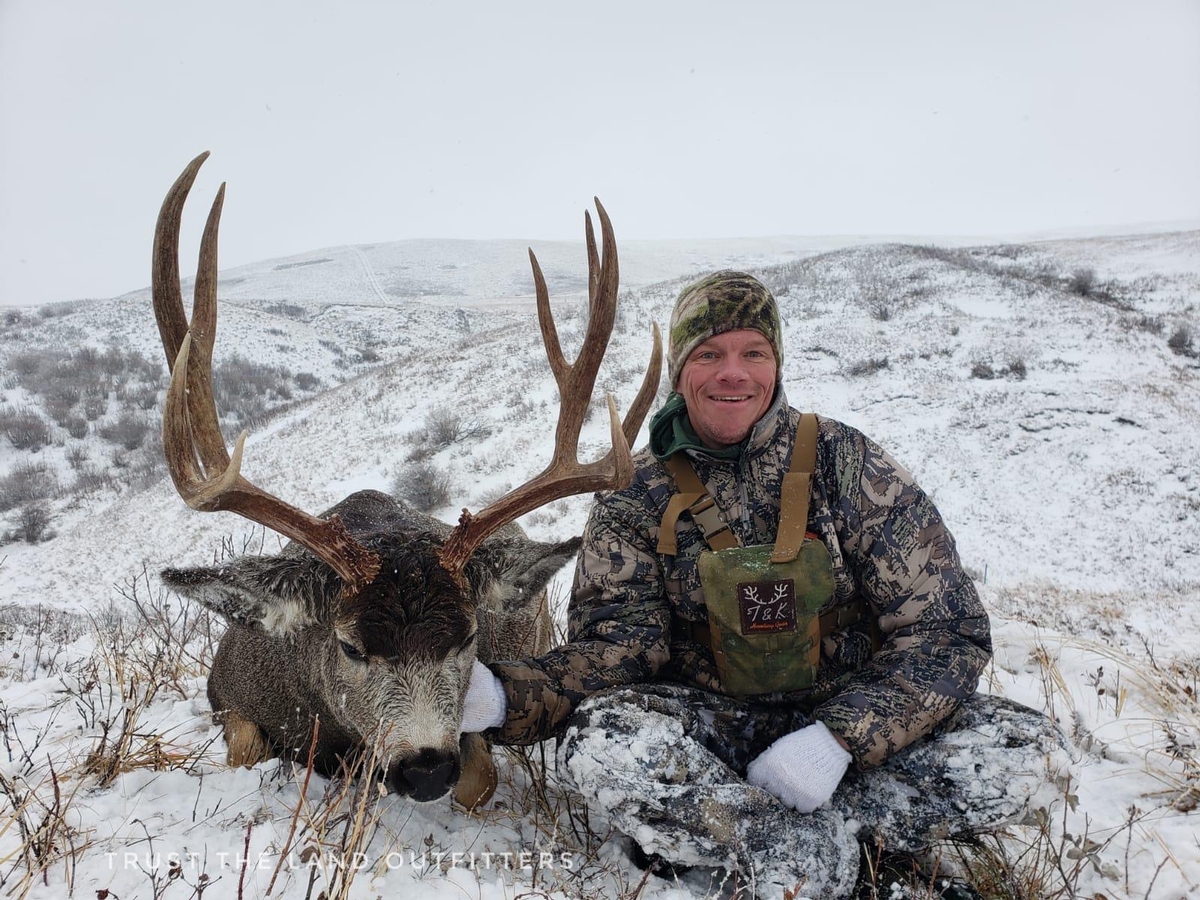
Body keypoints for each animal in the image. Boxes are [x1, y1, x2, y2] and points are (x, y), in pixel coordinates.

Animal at [151, 152, 661, 809]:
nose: (424, 769)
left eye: (469, 638)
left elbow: (480, 776)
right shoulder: (226, 695)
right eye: (349, 645)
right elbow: (244, 748)